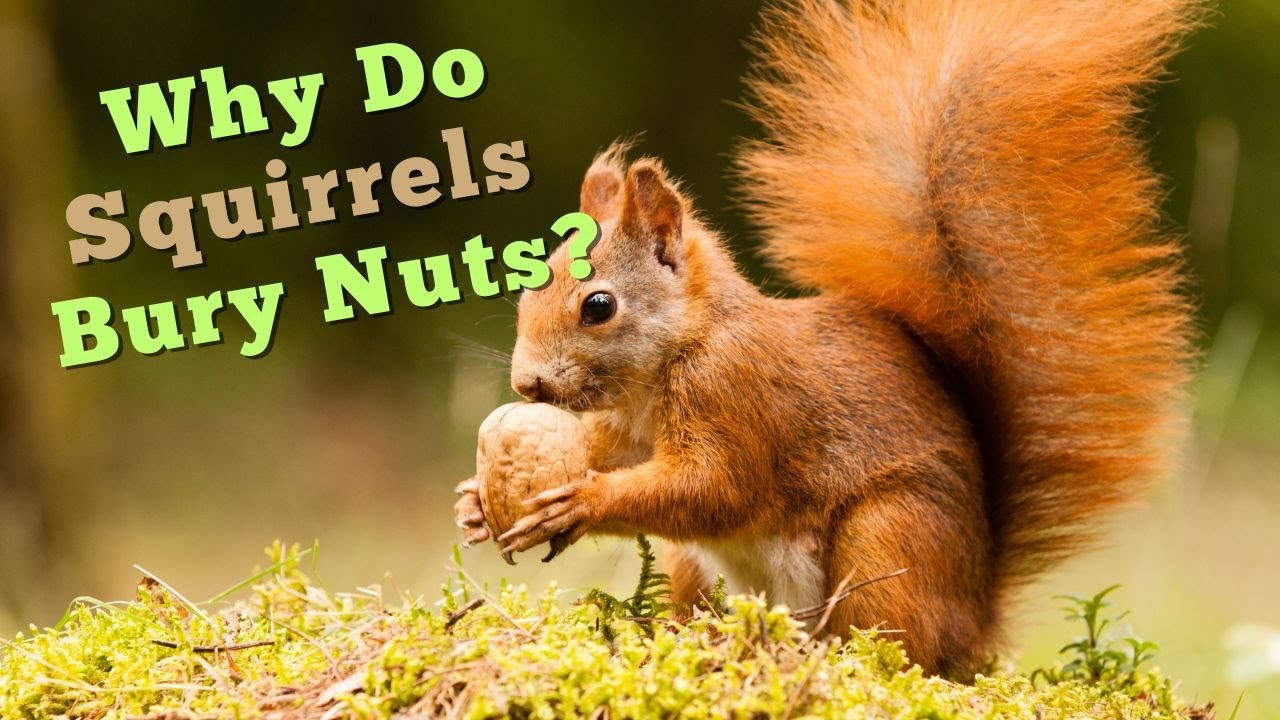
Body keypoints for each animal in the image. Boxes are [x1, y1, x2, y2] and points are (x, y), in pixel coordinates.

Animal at [454, 0, 1199, 676]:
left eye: (598, 306)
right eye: (530, 288)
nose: (526, 383)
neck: (672, 360)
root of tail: (976, 618)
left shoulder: (737, 395)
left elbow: (714, 489)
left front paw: (581, 501)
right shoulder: (627, 431)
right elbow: (609, 455)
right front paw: (474, 501)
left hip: (889, 540)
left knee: (896, 646)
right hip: (696, 568)